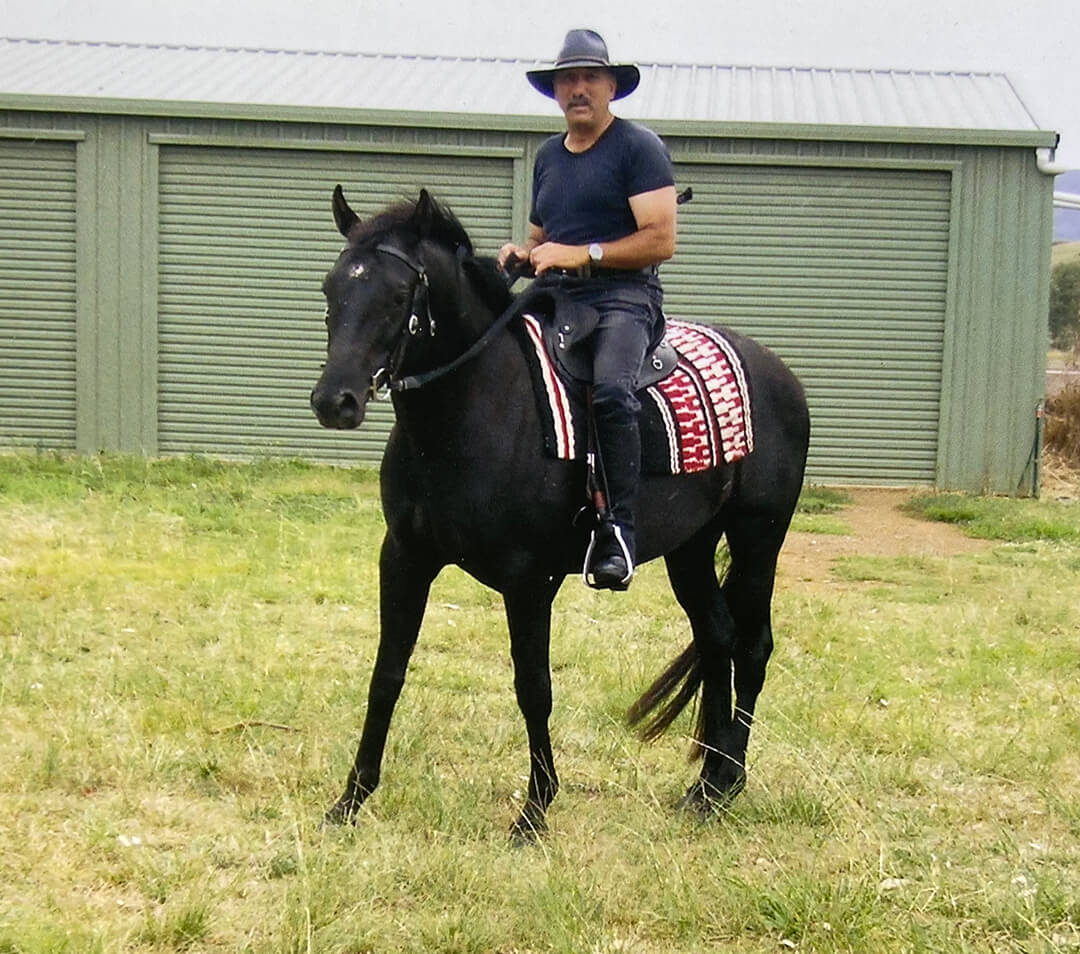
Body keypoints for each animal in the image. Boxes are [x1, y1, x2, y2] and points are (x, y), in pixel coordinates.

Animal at [310, 187, 810, 838]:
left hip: (758, 538)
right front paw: (351, 799)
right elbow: (386, 675)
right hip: (692, 548)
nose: (334, 401)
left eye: (398, 296)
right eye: (331, 290)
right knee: (717, 637)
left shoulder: (529, 581)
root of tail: (781, 374)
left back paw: (728, 780)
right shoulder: (404, 559)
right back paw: (705, 787)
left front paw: (535, 810)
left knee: (752, 646)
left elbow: (534, 688)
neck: (477, 411)